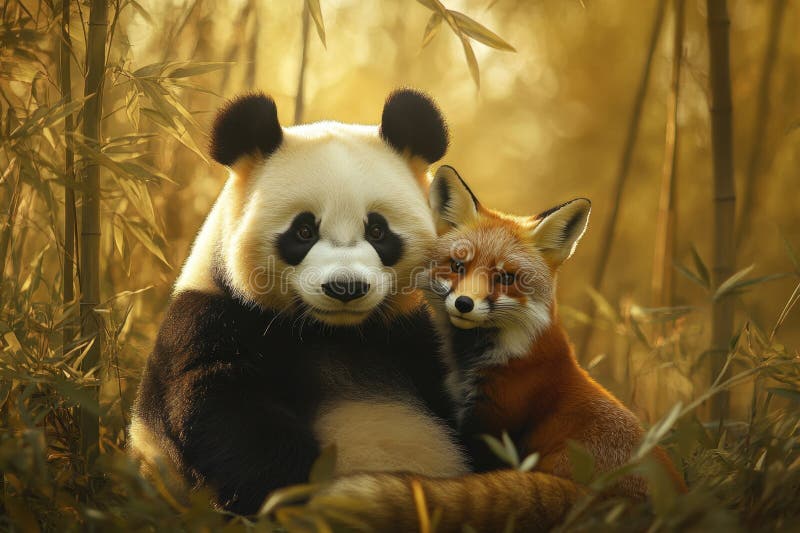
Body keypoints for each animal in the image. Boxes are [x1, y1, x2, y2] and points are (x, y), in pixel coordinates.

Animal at [129, 89, 469, 515]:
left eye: (377, 231)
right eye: (304, 231)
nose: (346, 287)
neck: (333, 332)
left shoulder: (411, 334)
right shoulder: (211, 320)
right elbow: (223, 410)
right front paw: (296, 489)